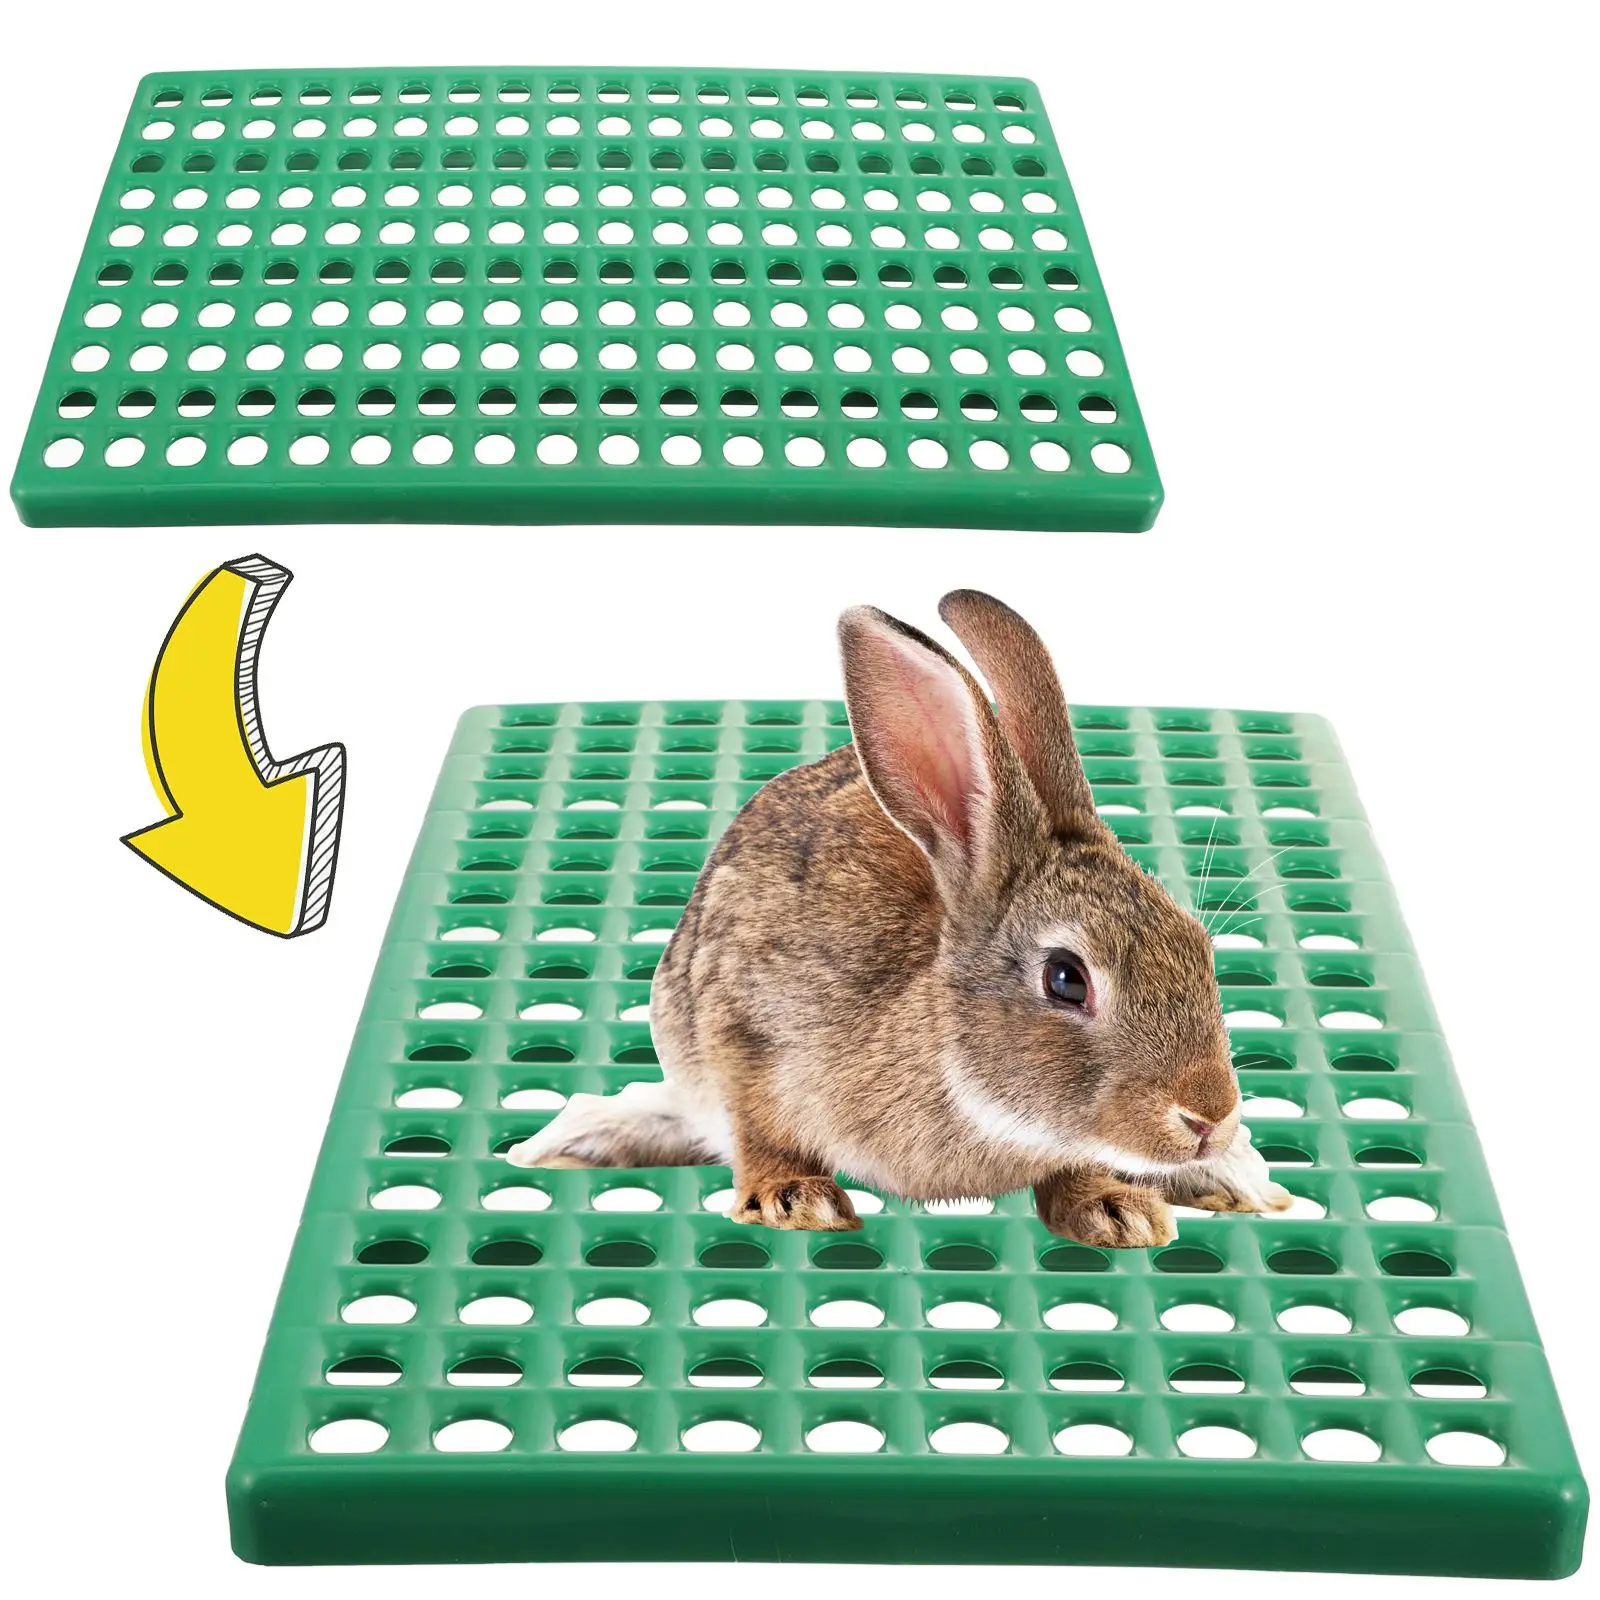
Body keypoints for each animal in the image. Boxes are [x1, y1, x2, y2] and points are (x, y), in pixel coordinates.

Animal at [507, 590, 1291, 1247]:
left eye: (1199, 947)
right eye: (1067, 979)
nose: (1209, 1117)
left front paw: (1116, 1210)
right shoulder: (741, 1028)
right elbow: (760, 1128)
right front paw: (794, 1199)